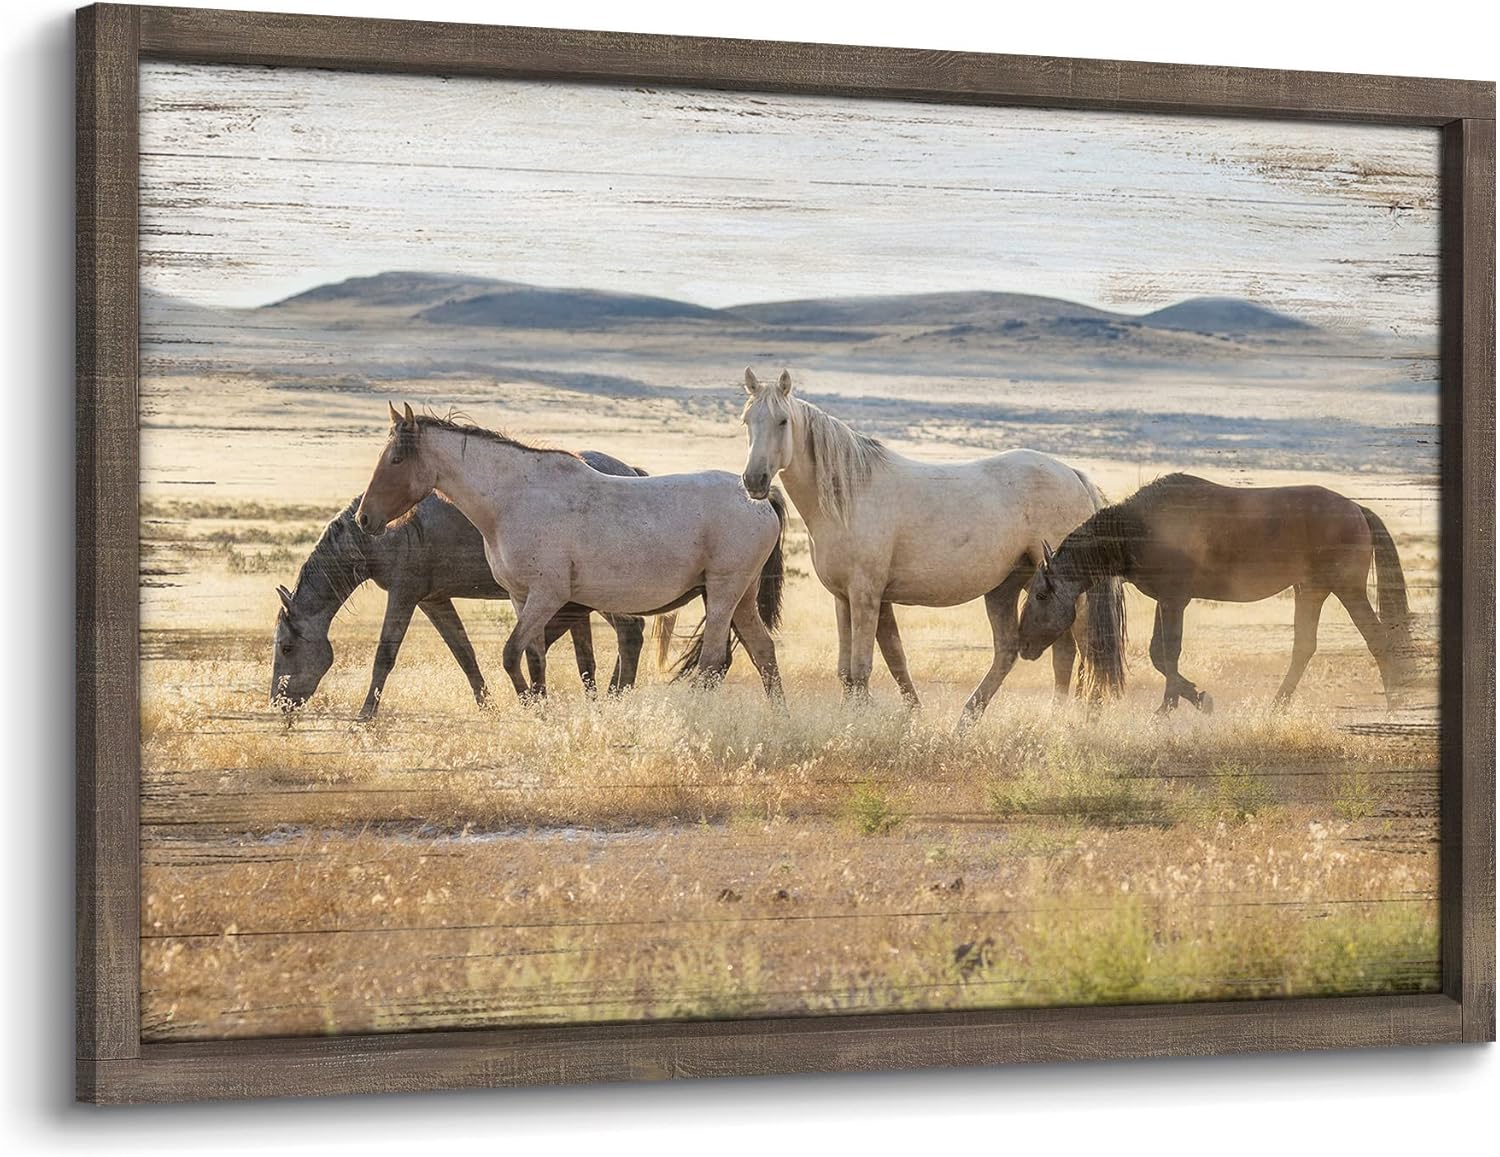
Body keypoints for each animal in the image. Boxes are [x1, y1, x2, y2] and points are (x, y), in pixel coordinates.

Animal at [272, 450, 656, 719]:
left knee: (629, 633)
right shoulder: (433, 599)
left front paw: (366, 715)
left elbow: (385, 655)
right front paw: (489, 707)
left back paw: (617, 698)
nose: (278, 702)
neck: (383, 532)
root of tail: (631, 472)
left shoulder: (403, 593)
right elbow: (463, 652)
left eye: (286, 648)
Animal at [354, 404, 786, 701]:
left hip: (723, 592)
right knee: (762, 651)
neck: (513, 499)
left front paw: (529, 703)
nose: (364, 518)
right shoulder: (521, 597)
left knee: (714, 661)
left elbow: (511, 653)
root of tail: (760, 499)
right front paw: (539, 708)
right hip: (741, 597)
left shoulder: (548, 596)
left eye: (396, 459)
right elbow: (533, 656)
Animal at [739, 368, 1125, 725]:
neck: (849, 495)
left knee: (1087, 647)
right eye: (747, 420)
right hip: (1013, 588)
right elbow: (855, 668)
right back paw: (982, 720)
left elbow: (862, 667)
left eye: (782, 421)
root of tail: (1073, 475)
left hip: (1067, 592)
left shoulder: (865, 596)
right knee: (1036, 650)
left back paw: (1081, 722)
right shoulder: (843, 598)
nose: (754, 480)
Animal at [1015, 472, 1417, 713]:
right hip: (1311, 590)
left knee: (1378, 640)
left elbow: (1168, 653)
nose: (1023, 645)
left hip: (1347, 589)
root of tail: (1357, 509)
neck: (1137, 528)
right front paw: (1186, 700)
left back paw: (1394, 705)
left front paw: (1177, 704)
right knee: (1304, 647)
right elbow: (1160, 654)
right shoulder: (1167, 600)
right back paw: (1277, 706)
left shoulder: (1175, 601)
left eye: (1039, 596)